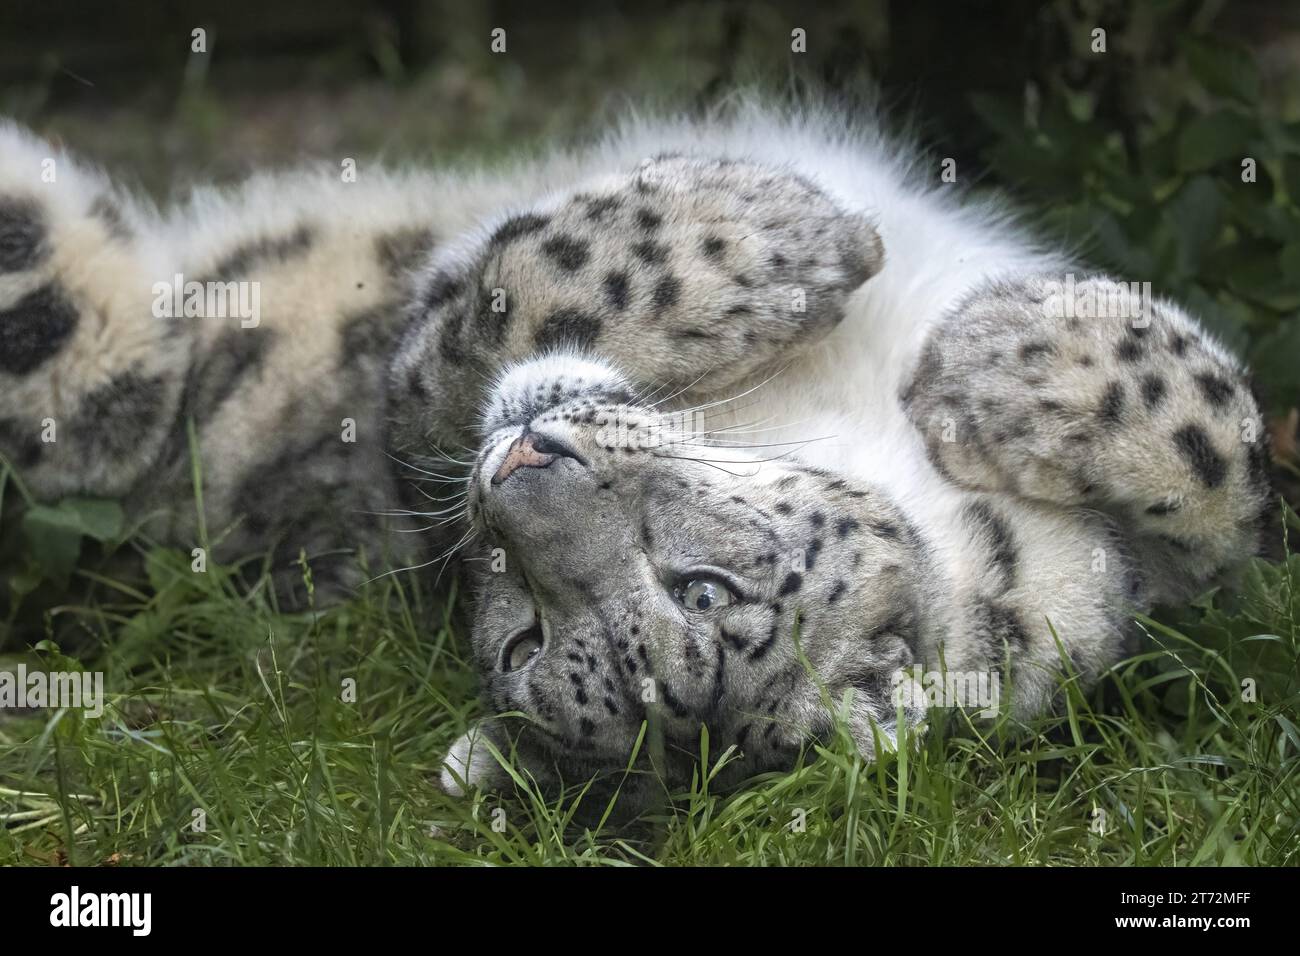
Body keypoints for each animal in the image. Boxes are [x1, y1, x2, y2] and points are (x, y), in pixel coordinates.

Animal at [0, 99, 1272, 815]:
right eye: (520, 628)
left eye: (693, 592)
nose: (514, 467)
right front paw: (792, 244)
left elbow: (1231, 503)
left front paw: (984, 359)